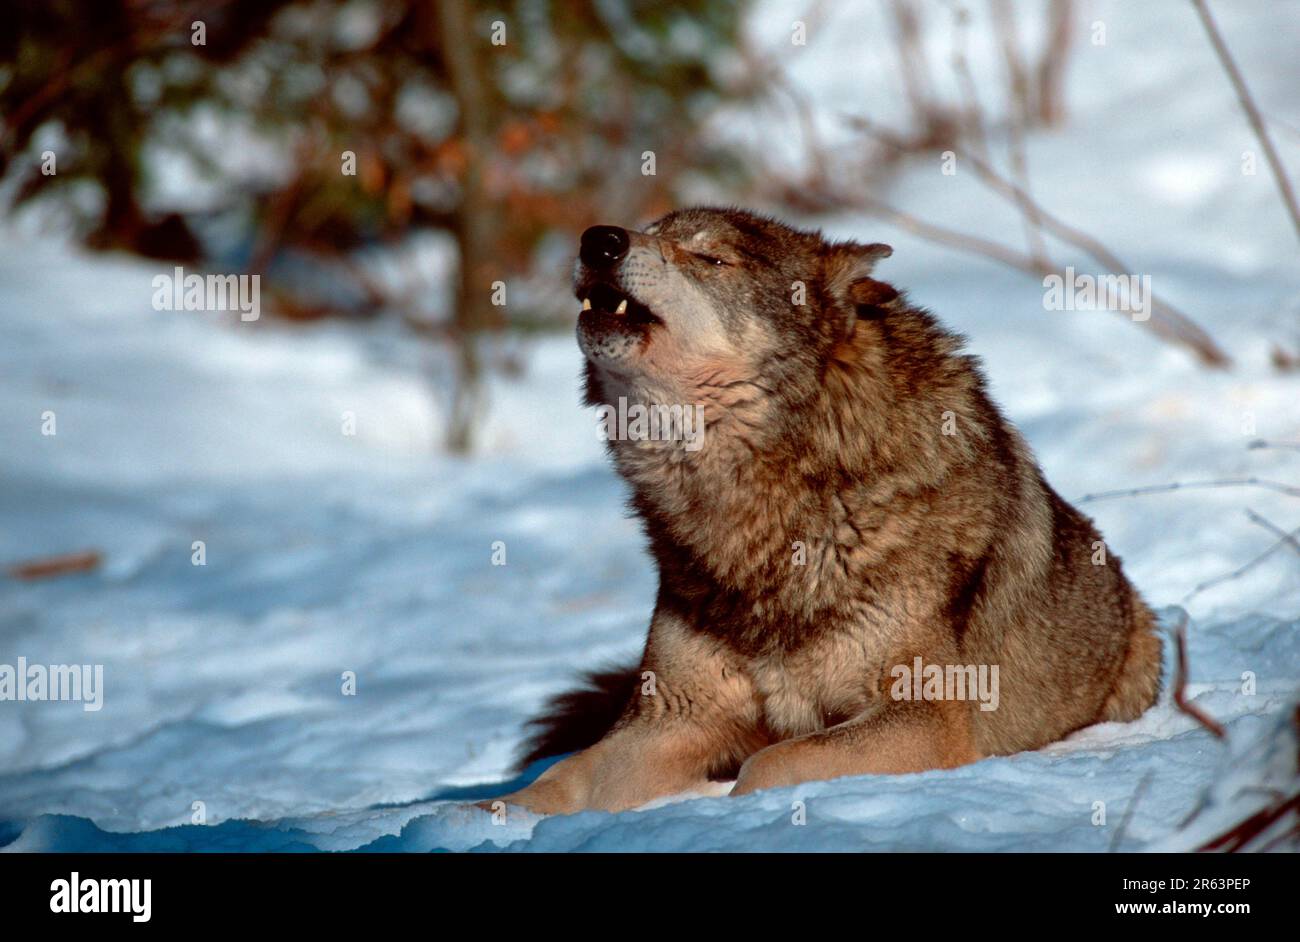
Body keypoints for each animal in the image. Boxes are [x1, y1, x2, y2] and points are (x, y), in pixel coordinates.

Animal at [496, 207, 1161, 815]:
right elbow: (562, 779)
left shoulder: (926, 715)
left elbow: (768, 764)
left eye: (711, 258)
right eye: (648, 229)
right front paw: (484, 816)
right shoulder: (671, 716)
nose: (599, 239)